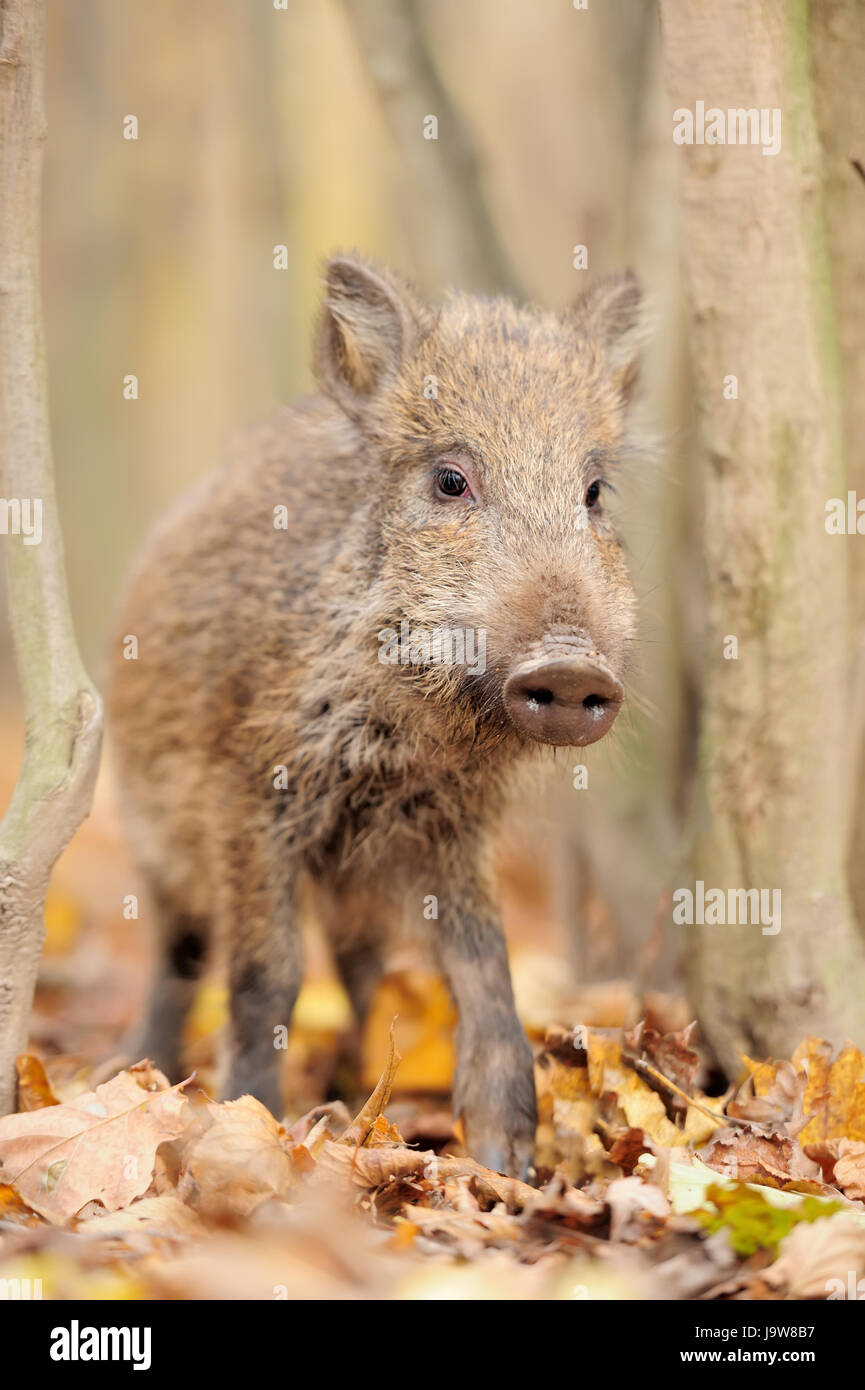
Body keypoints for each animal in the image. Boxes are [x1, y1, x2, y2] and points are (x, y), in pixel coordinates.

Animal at [107, 253, 644, 1177]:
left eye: (593, 490)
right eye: (449, 480)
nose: (570, 668)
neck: (408, 737)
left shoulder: (453, 823)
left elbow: (482, 963)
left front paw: (505, 1160)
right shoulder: (245, 796)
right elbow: (266, 975)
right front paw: (256, 1119)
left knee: (364, 967)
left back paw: (362, 1089)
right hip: (158, 834)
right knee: (182, 954)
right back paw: (146, 1066)